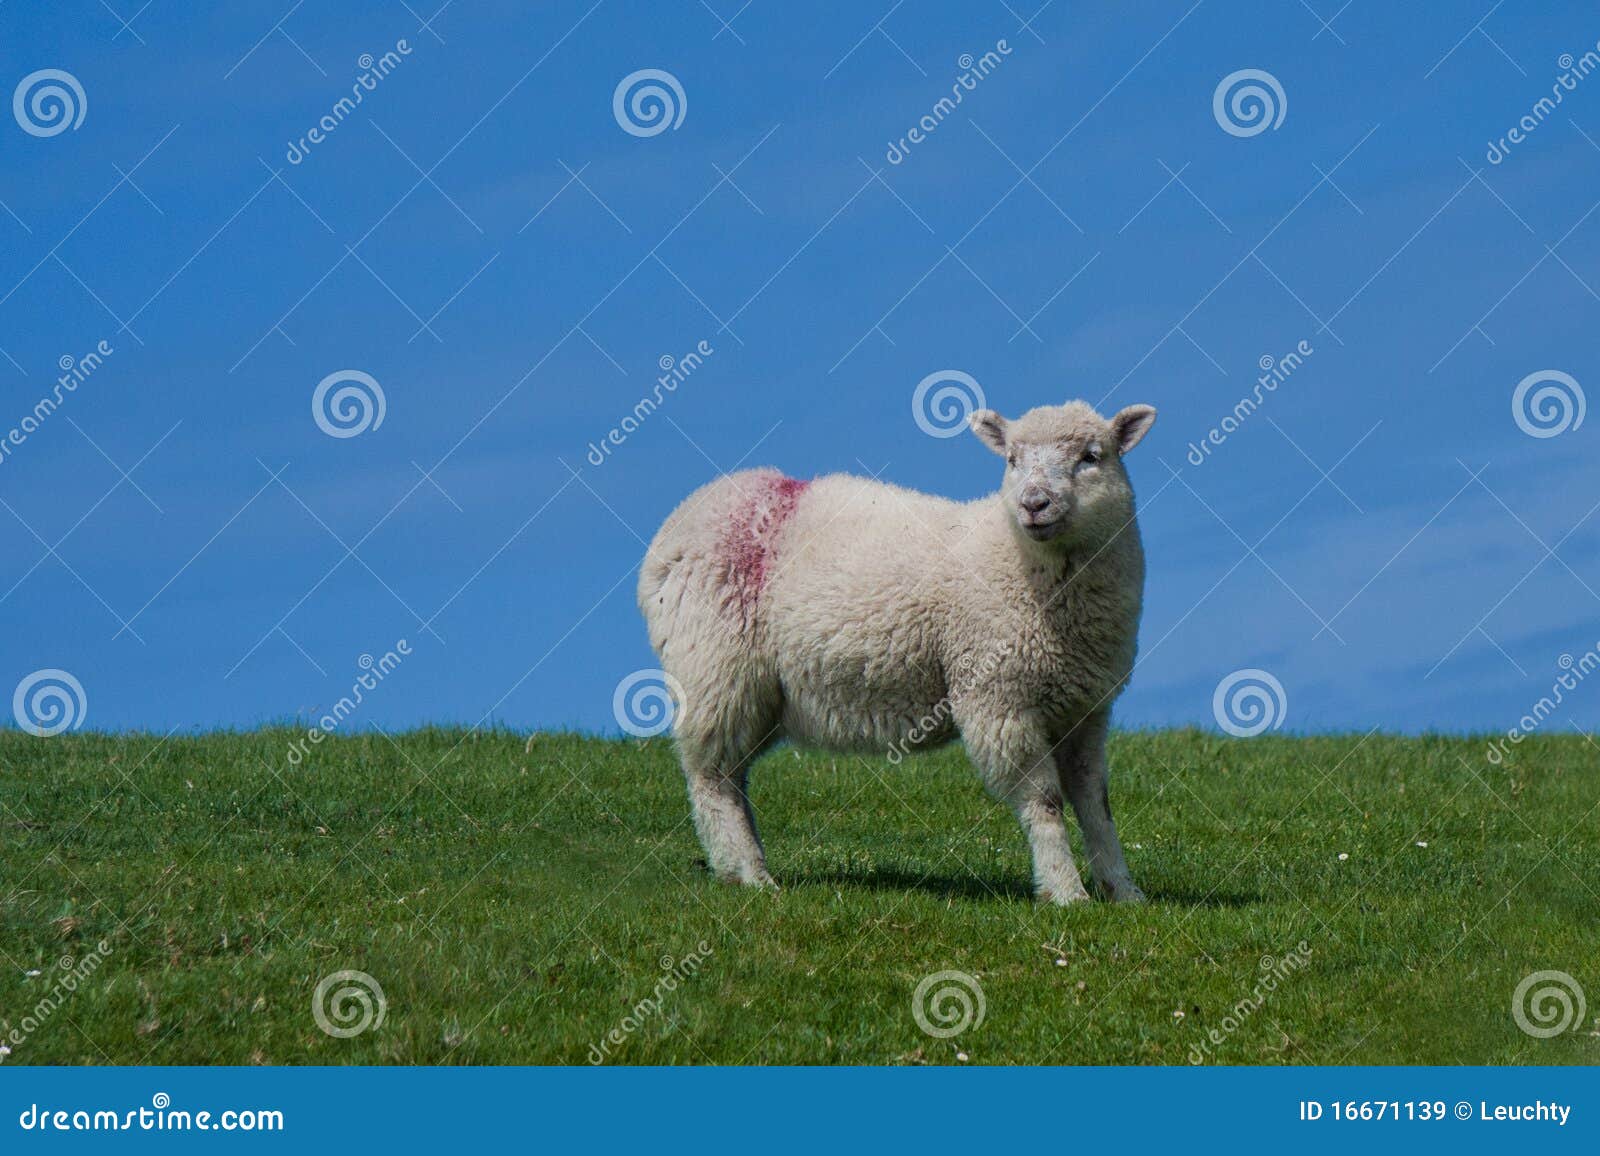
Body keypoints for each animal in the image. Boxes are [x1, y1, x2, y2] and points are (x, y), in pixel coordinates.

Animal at [636, 400, 1157, 904]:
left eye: (1091, 457)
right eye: (1011, 459)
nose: (1034, 503)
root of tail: (687, 516)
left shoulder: (1085, 710)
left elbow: (1095, 802)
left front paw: (1123, 891)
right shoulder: (1000, 701)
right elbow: (1044, 801)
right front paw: (1066, 892)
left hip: (758, 694)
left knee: (733, 776)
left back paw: (740, 867)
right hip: (716, 671)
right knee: (713, 779)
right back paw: (752, 874)